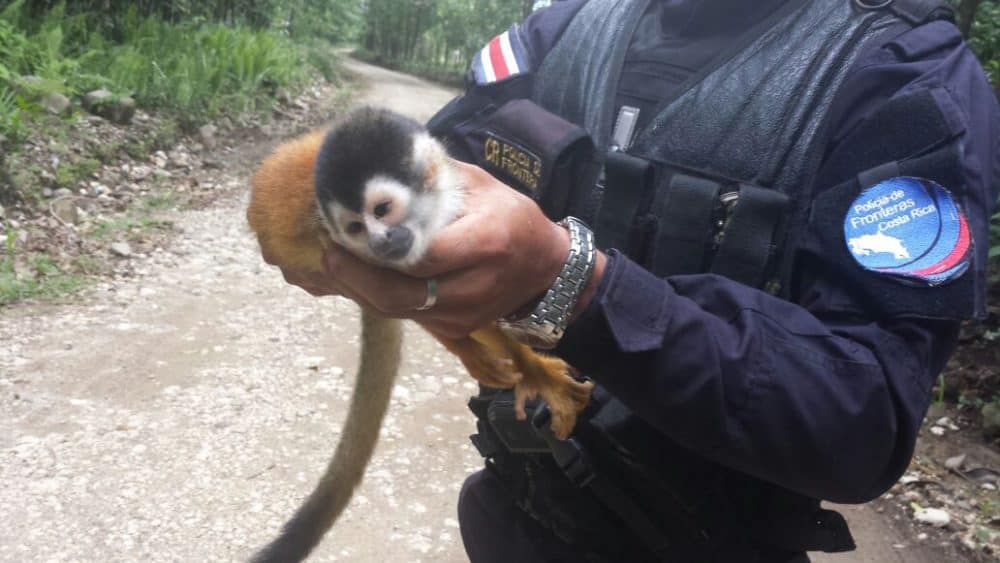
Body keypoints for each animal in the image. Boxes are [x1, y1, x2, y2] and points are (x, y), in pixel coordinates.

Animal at [245, 106, 594, 562]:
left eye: (382, 209)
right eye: (355, 227)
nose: (380, 240)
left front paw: (531, 367)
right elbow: (428, 306)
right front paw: (484, 356)